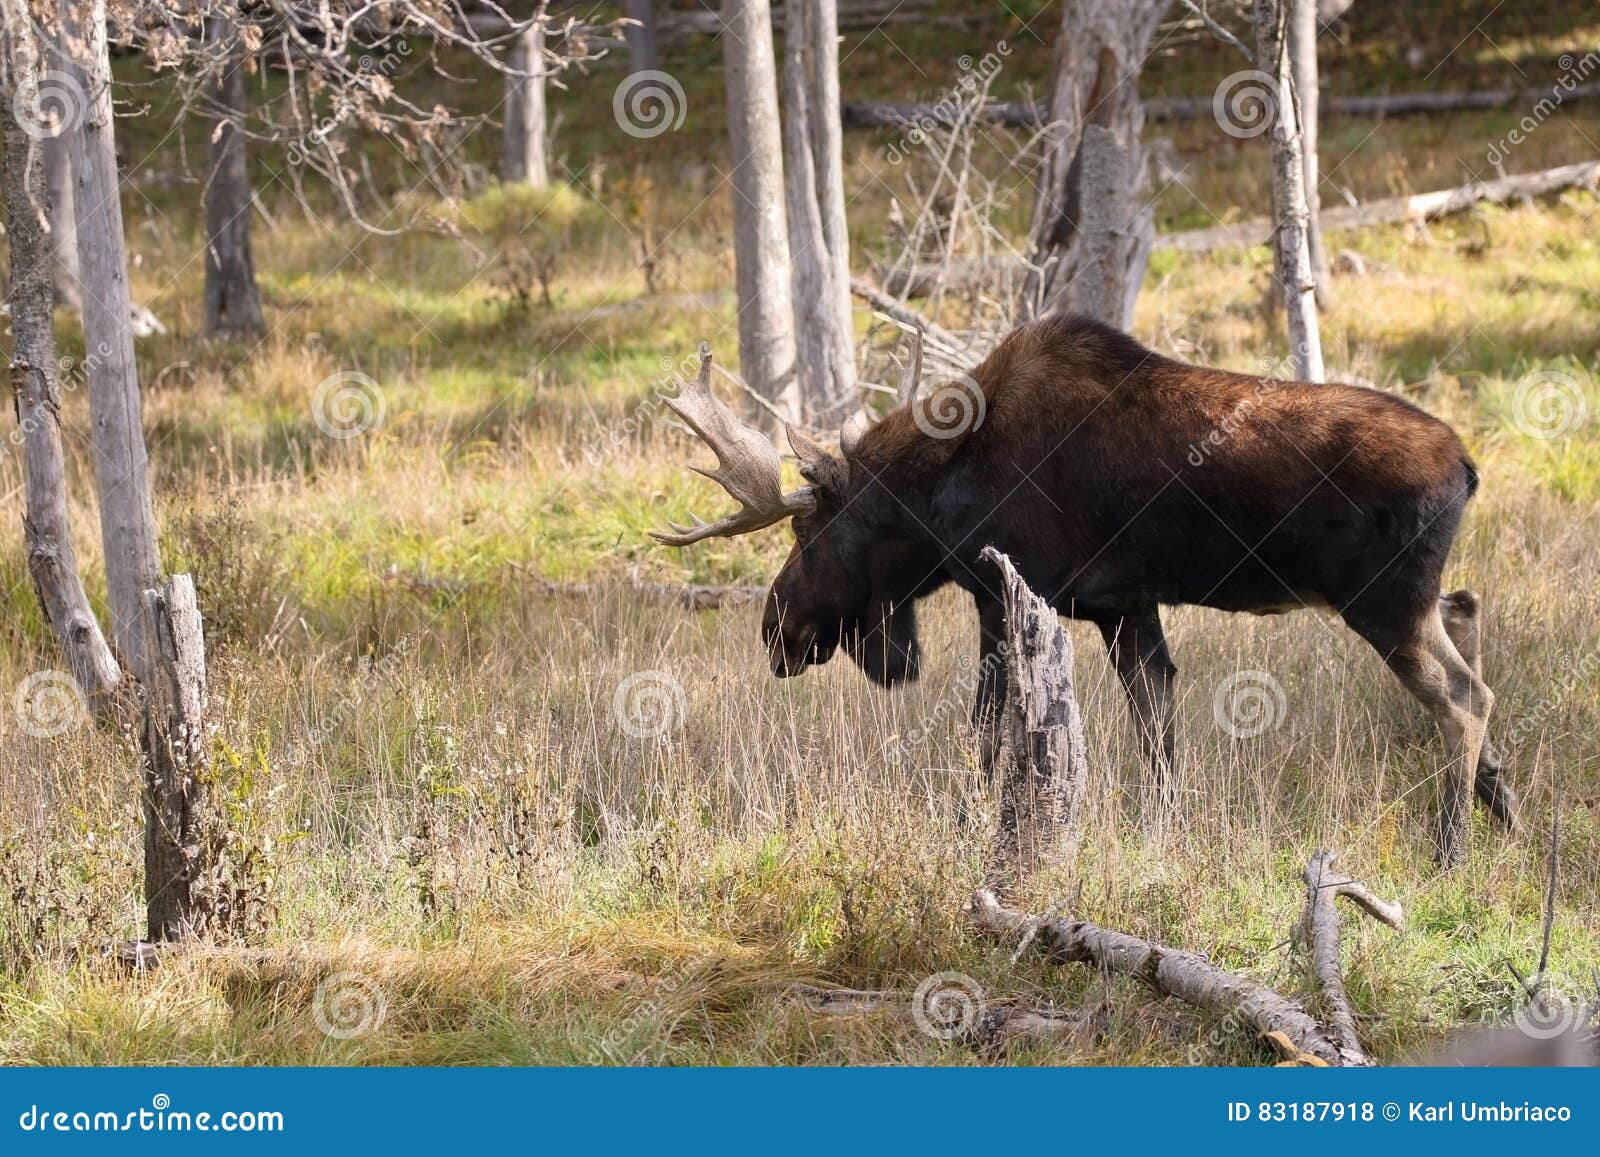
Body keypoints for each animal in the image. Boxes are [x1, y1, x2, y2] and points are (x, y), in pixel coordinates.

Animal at [652, 314, 1519, 868]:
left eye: (807, 534)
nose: (777, 629)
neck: (933, 497)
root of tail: (1468, 468)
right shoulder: (1125, 607)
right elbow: (1157, 732)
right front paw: (1162, 838)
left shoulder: (1004, 592)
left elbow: (986, 737)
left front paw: (970, 832)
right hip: (1410, 597)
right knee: (1469, 617)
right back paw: (1503, 811)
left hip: (1382, 601)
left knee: (1464, 696)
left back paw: (1450, 852)